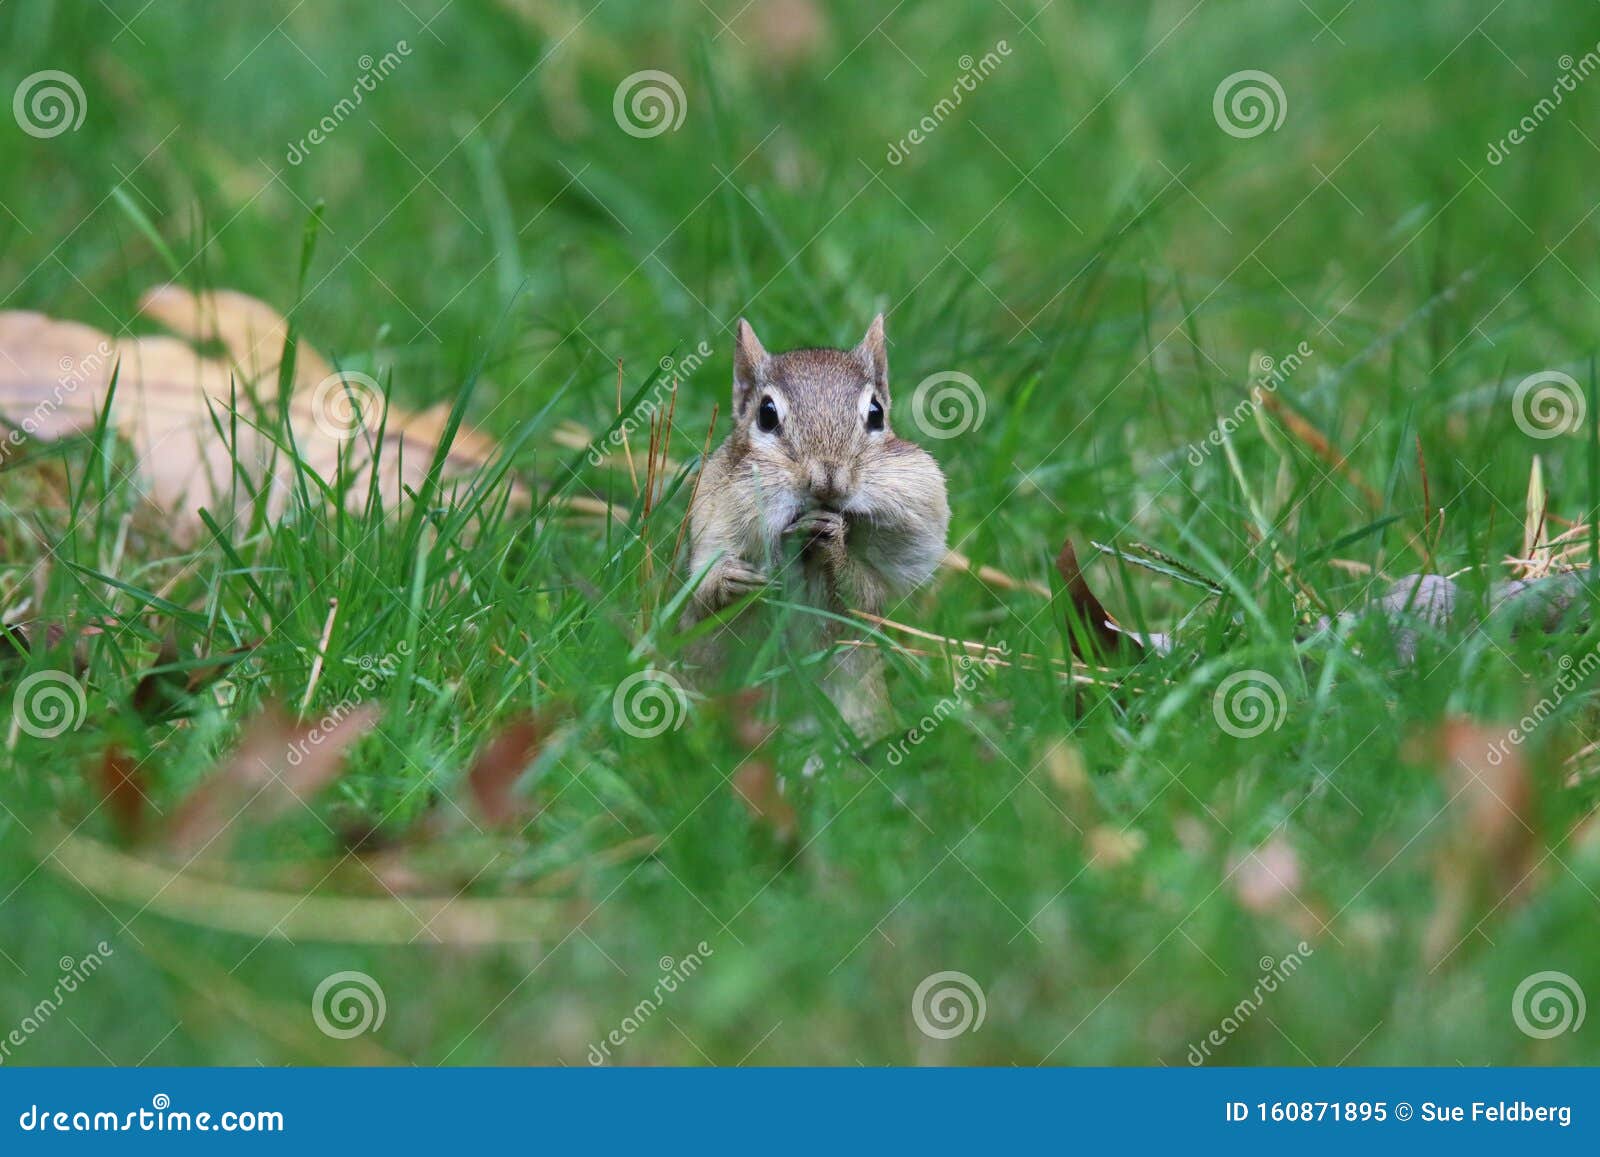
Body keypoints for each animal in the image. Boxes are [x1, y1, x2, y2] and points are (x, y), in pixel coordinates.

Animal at [683, 314, 951, 744]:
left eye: (876, 413)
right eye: (766, 414)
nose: (827, 482)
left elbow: (863, 593)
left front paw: (833, 538)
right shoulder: (712, 522)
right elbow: (702, 589)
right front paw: (730, 577)